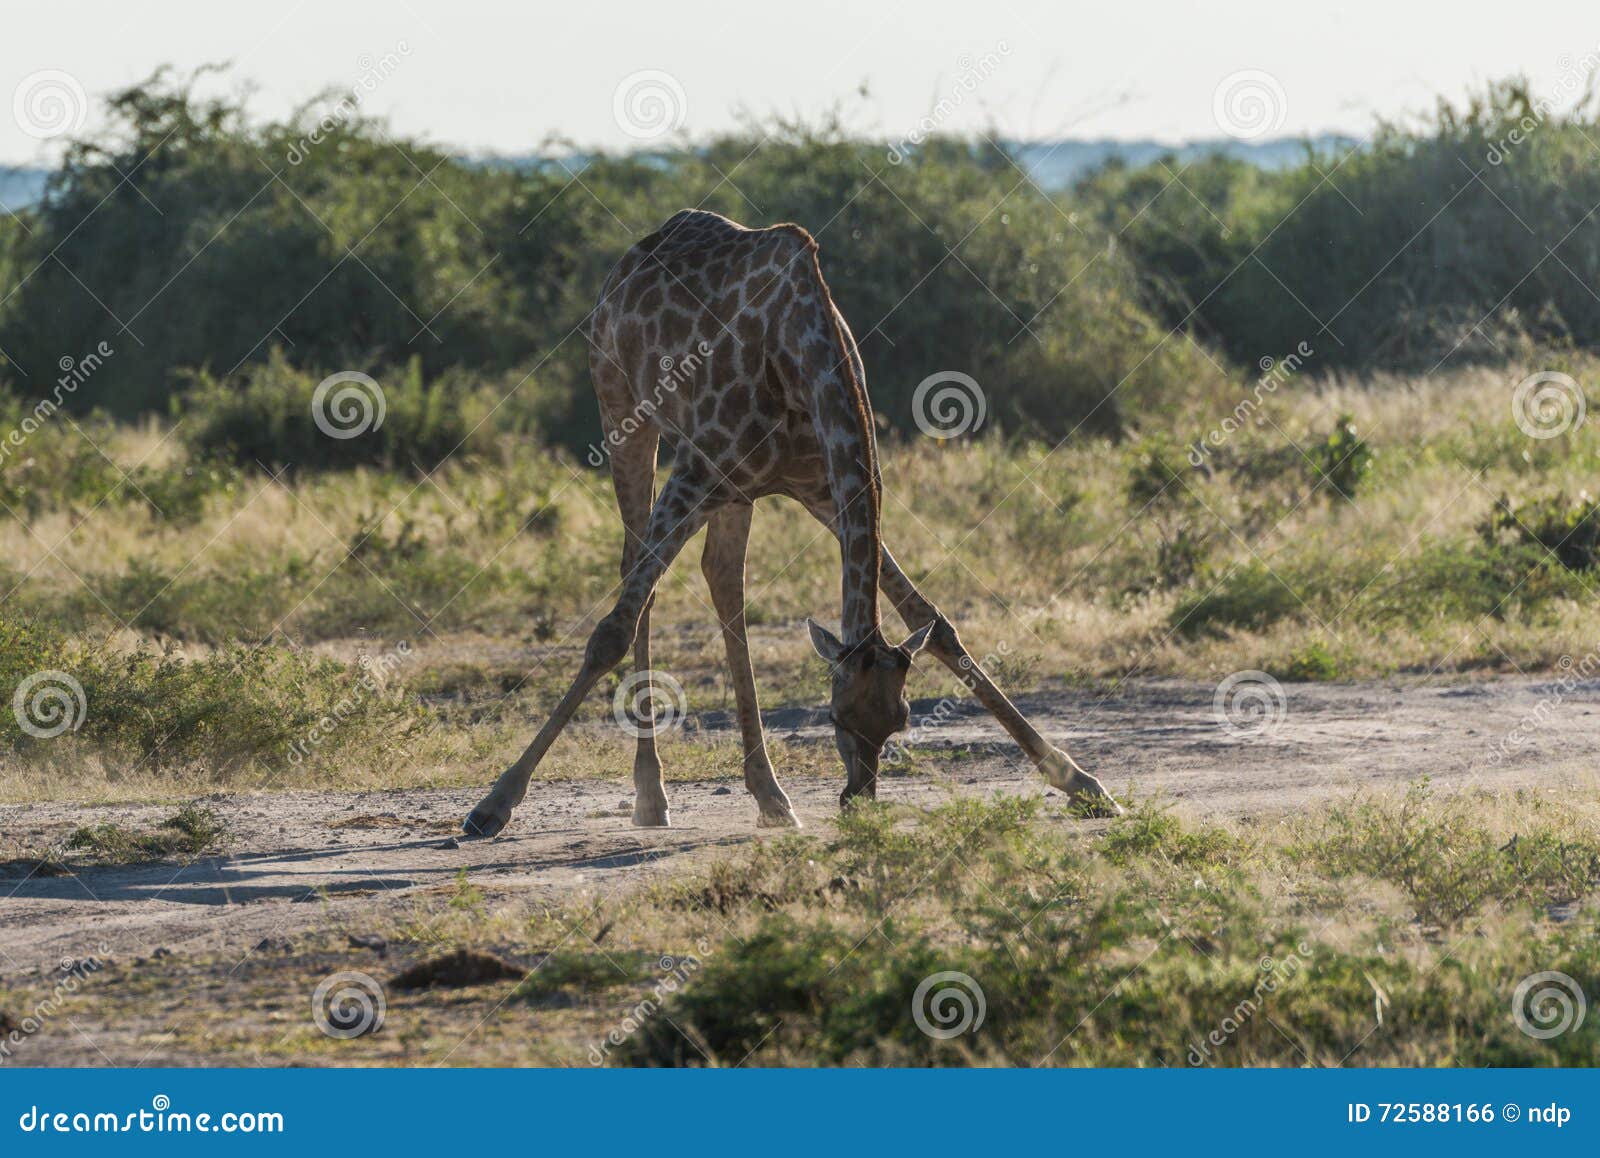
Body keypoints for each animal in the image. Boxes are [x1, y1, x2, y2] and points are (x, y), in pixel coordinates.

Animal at [463, 209, 1119, 837]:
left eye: (902, 719)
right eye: (833, 715)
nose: (858, 799)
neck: (798, 353)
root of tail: (627, 263)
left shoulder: (823, 489)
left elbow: (932, 621)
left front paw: (1084, 785)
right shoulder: (697, 467)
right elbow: (610, 632)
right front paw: (494, 803)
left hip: (735, 490)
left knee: (722, 578)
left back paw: (769, 795)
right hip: (624, 410)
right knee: (636, 576)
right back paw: (652, 796)